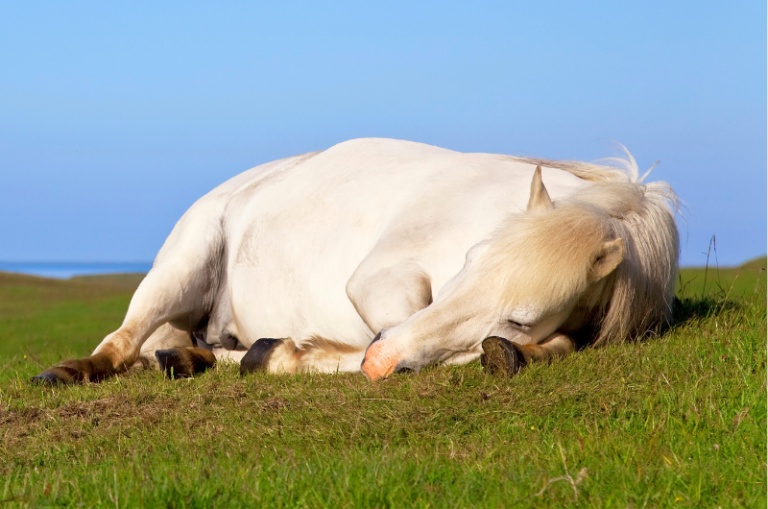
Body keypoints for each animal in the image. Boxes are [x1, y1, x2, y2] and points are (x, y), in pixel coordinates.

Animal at [32, 138, 679, 384]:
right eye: (470, 257)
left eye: (521, 316)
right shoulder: (378, 282)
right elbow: (393, 337)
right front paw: (295, 355)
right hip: (180, 268)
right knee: (121, 344)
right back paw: (71, 371)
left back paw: (197, 357)